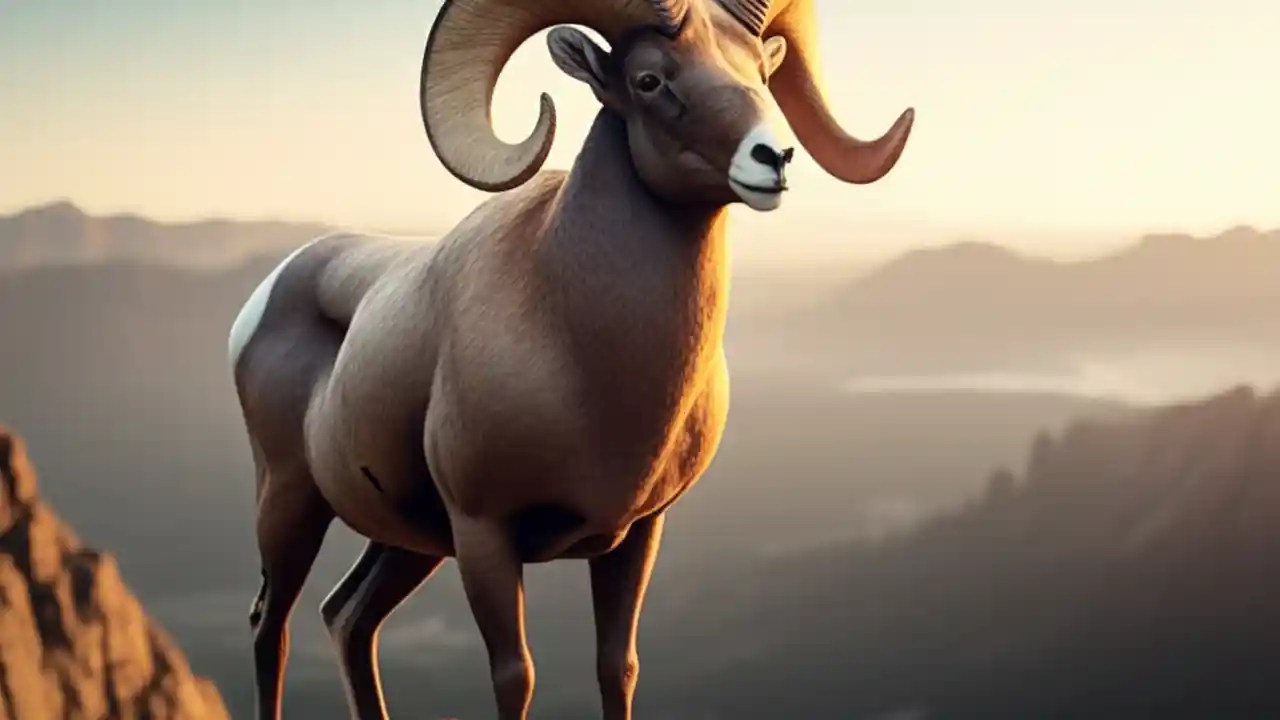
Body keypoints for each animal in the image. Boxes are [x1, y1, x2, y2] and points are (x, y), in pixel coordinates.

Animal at [228, 0, 913, 718]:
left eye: (758, 68)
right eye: (649, 80)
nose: (772, 157)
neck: (583, 361)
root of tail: (275, 286)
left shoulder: (636, 536)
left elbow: (618, 667)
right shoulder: (485, 537)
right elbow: (515, 677)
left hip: (405, 545)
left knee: (348, 618)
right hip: (290, 503)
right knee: (271, 626)